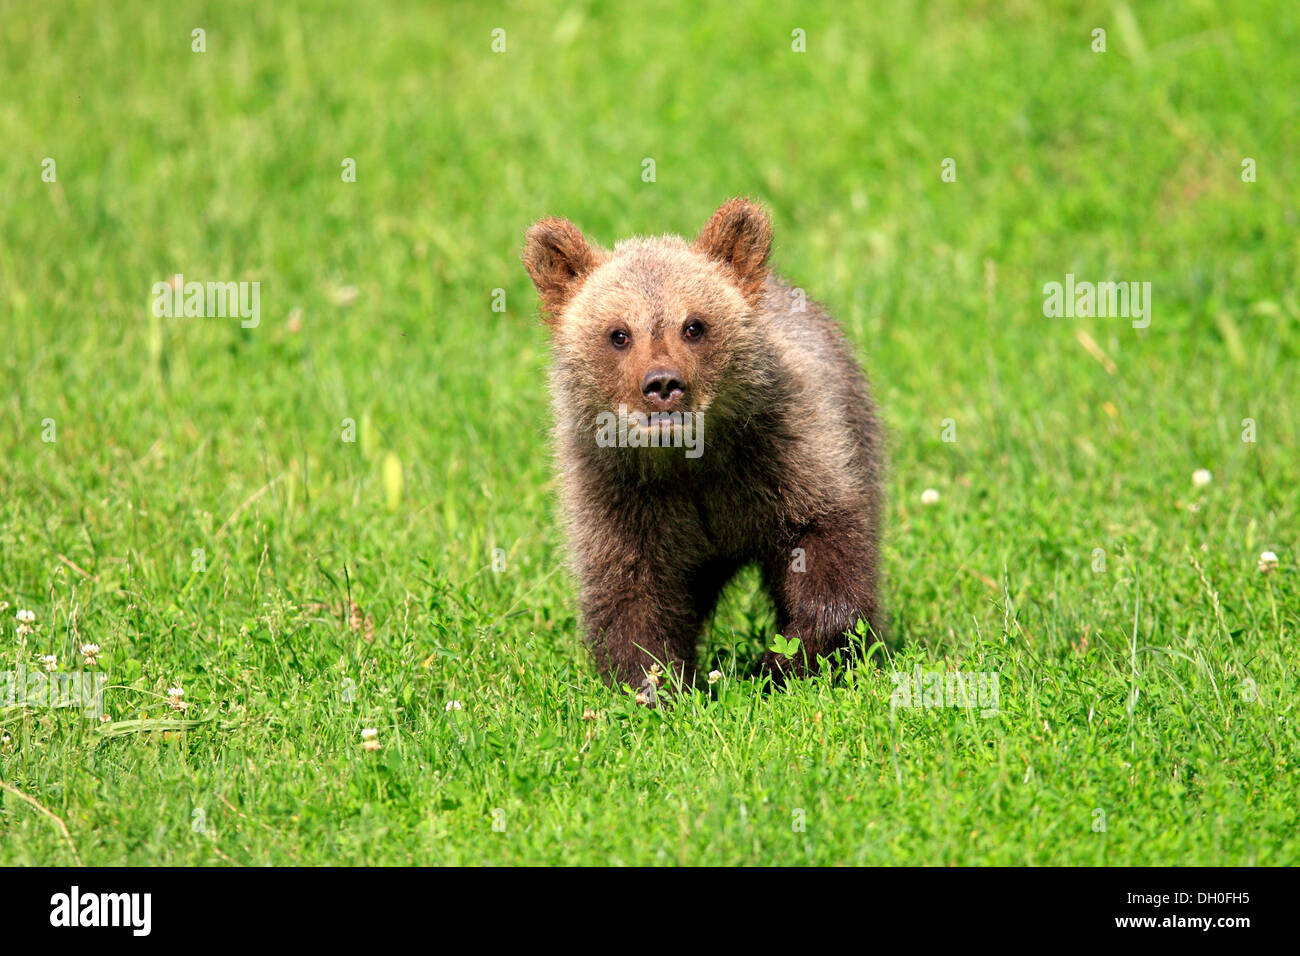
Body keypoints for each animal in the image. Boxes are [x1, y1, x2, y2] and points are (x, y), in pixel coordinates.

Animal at [523, 198, 885, 698]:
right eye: (619, 333)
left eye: (694, 325)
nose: (662, 384)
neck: (691, 462)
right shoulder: (618, 492)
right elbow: (628, 588)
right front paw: (658, 684)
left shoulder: (787, 454)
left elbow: (825, 543)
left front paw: (781, 661)